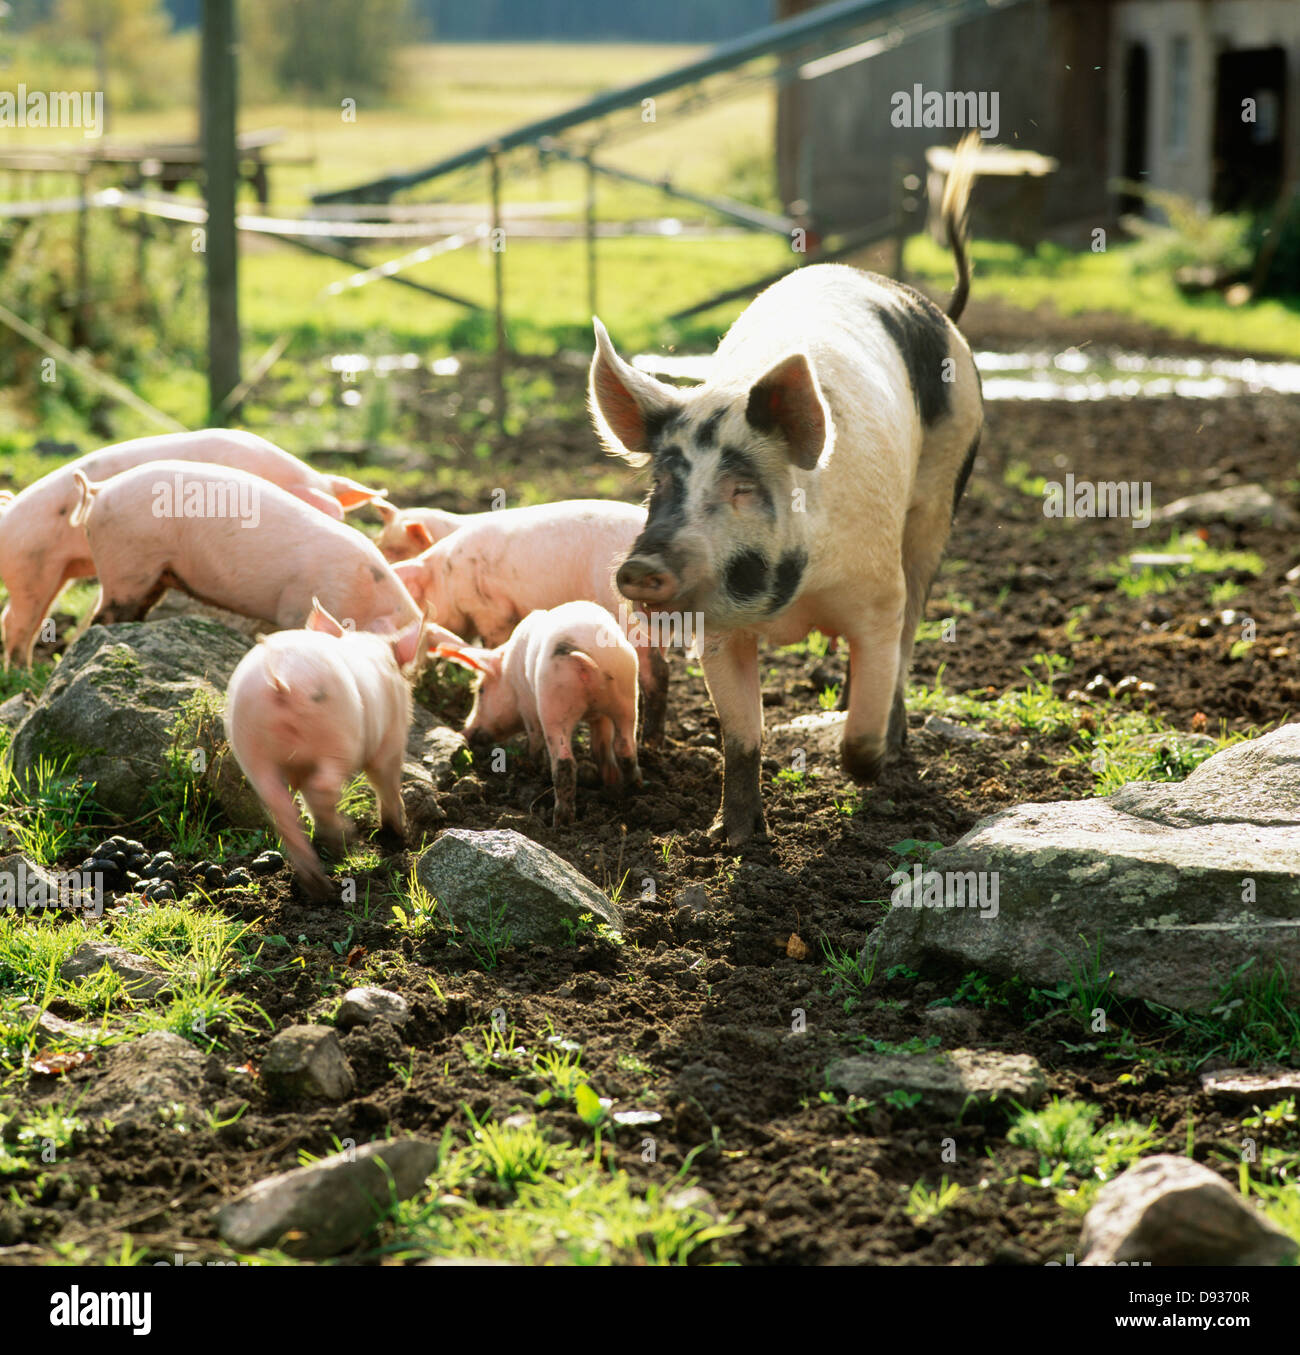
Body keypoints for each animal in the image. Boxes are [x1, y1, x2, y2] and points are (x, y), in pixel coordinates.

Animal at [71, 460, 456, 642]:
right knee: (103, 616)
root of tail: (100, 489)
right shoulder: (297, 607)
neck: (366, 595)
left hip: (154, 574)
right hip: (126, 562)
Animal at [224, 599, 424, 900]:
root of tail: (282, 679)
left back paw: (317, 884)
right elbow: (386, 780)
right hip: (336, 737)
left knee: (282, 807)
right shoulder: (392, 736)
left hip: (250, 746)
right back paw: (343, 841)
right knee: (322, 788)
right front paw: (399, 836)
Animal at [391, 498, 670, 741]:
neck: (444, 576)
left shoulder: (491, 610)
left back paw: (649, 741)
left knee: (658, 672)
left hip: (633, 617)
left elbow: (492, 643)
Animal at [436, 601, 642, 828]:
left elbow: (534, 736)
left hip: (554, 700)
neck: (508, 670)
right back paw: (630, 789)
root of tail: (584, 659)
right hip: (626, 691)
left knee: (564, 761)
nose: (464, 732)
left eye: (481, 690)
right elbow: (600, 747)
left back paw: (560, 821)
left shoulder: (526, 703)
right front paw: (611, 782)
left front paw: (531, 764)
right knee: (624, 747)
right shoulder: (599, 716)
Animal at [587, 135, 984, 845]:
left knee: (913, 627)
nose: (638, 567)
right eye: (662, 480)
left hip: (939, 498)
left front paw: (867, 771)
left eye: (743, 485)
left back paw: (897, 745)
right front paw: (731, 839)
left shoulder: (876, 593)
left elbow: (873, 696)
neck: (793, 599)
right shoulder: (716, 626)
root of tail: (935, 307)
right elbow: (743, 735)